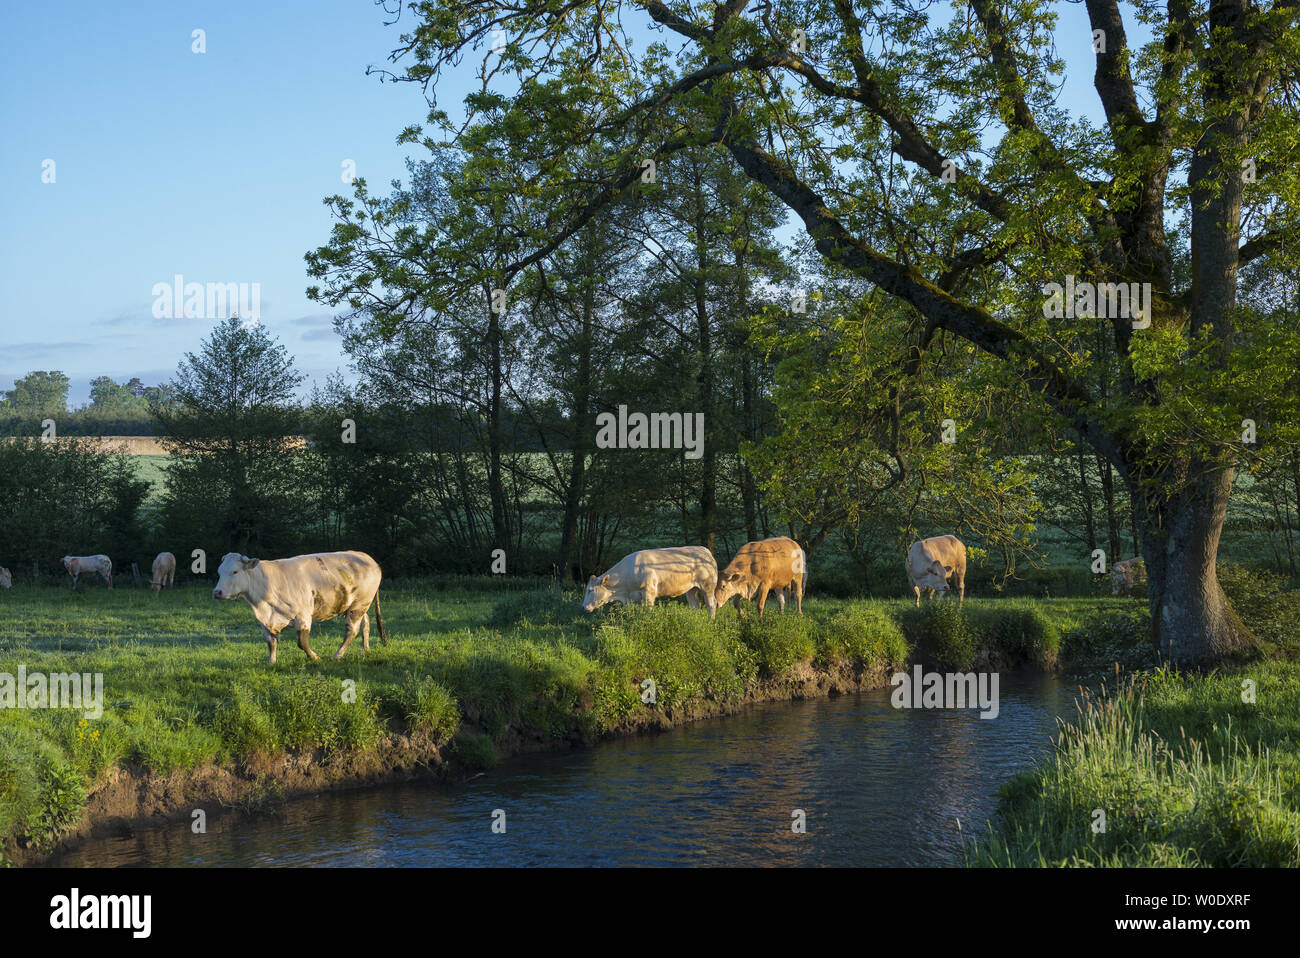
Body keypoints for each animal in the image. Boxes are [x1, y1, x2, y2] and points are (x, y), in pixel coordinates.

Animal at [212, 551, 387, 665]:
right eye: (219, 572)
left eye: (235, 571)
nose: (217, 592)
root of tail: (368, 558)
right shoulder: (264, 621)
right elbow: (271, 642)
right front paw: (271, 662)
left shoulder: (303, 615)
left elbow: (302, 642)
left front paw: (314, 657)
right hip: (357, 605)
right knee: (365, 622)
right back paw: (365, 649)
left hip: (358, 605)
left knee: (352, 630)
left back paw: (338, 655)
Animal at [582, 546, 718, 619]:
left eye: (590, 590)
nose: (583, 607)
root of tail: (704, 550)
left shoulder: (649, 592)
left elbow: (648, 611)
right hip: (691, 589)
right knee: (694, 605)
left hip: (707, 586)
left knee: (711, 604)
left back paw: (711, 621)